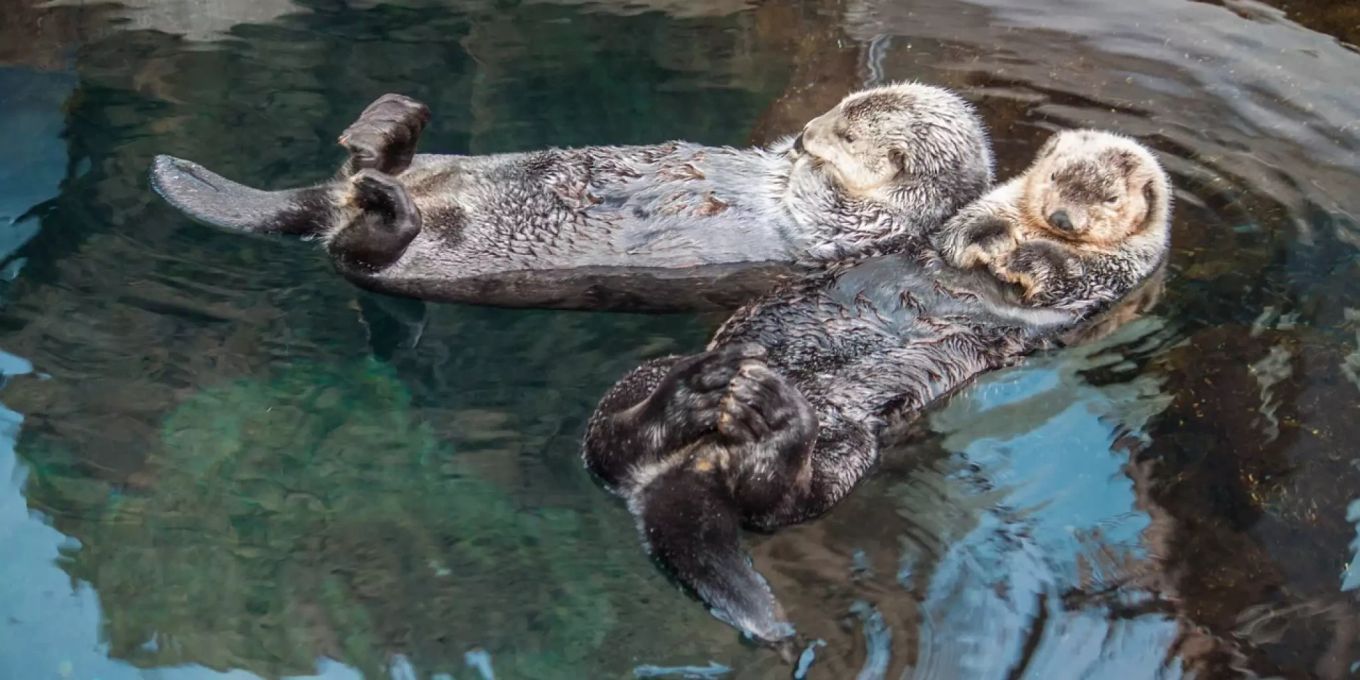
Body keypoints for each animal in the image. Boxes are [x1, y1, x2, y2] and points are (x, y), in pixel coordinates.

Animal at [149, 83, 992, 312]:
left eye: (849, 130)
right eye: (847, 103)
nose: (812, 130)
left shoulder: (858, 231)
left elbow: (826, 208)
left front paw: (805, 163)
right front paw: (783, 147)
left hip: (398, 262)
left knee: (357, 251)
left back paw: (387, 193)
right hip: (428, 168)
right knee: (362, 176)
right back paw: (387, 129)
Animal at [582, 129, 1173, 644]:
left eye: (1110, 197)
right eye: (1054, 176)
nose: (1062, 218)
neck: (1033, 229)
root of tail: (690, 468)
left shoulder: (1115, 279)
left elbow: (1068, 276)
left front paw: (1028, 258)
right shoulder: (981, 208)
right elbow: (964, 228)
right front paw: (988, 240)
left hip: (847, 446)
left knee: (779, 501)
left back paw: (772, 413)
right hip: (660, 375)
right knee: (610, 440)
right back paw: (701, 390)